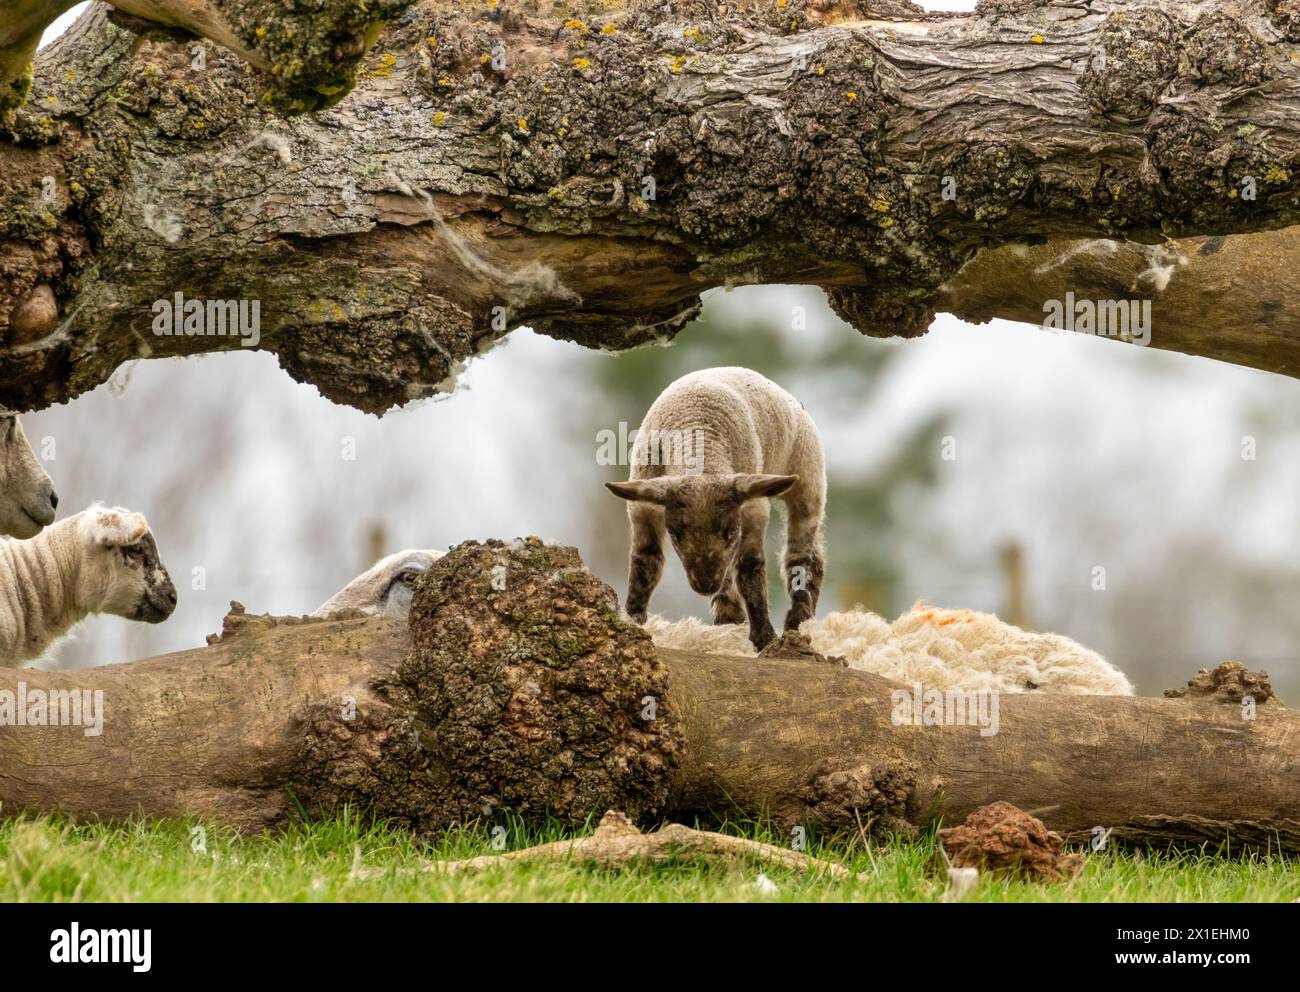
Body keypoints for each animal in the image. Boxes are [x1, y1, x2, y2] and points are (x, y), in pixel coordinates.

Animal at [605, 367, 826, 651]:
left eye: (732, 532)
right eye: (675, 534)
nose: (705, 585)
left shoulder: (753, 508)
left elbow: (750, 566)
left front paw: (764, 637)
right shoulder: (643, 506)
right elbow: (645, 560)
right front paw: (632, 618)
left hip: (807, 476)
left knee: (803, 555)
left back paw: (799, 619)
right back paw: (729, 616)